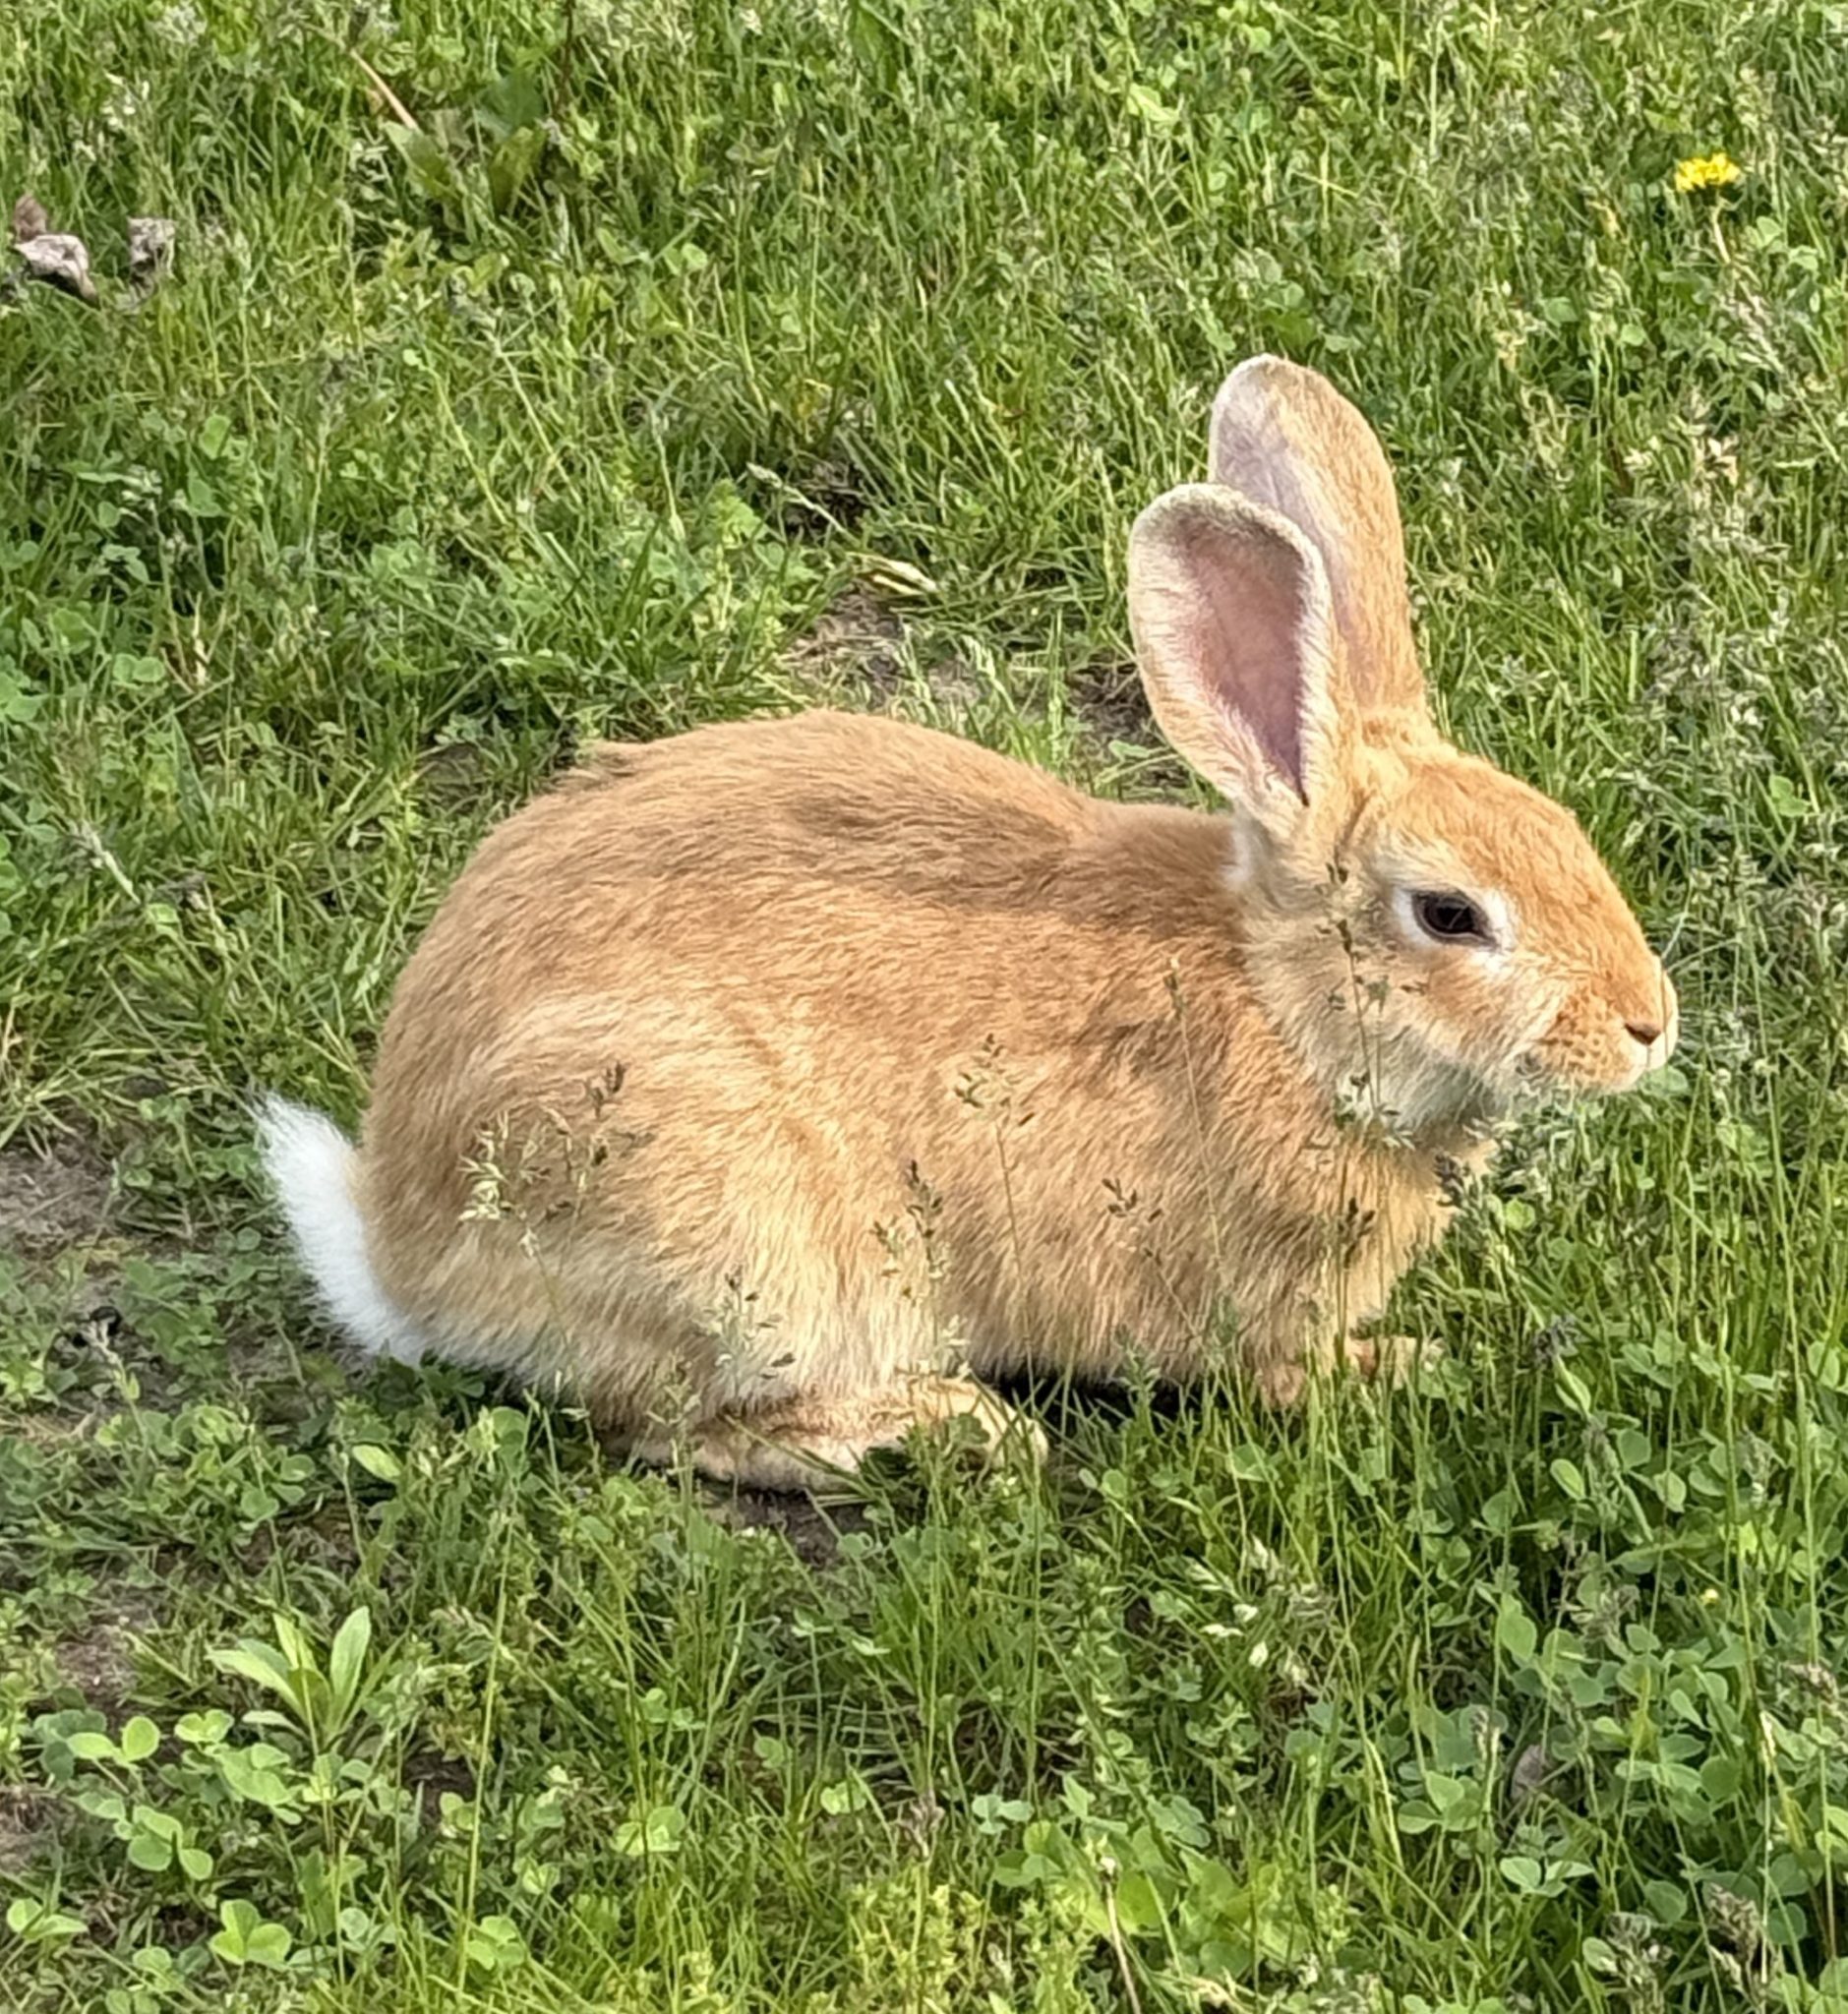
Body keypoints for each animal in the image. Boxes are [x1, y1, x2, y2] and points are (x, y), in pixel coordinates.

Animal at [260, 357, 1678, 1490]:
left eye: (1561, 829)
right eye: (1448, 914)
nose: (1647, 1026)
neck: (1283, 1015)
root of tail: (401, 1248)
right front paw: (1404, 1362)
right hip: (724, 1240)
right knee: (672, 1427)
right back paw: (948, 1426)